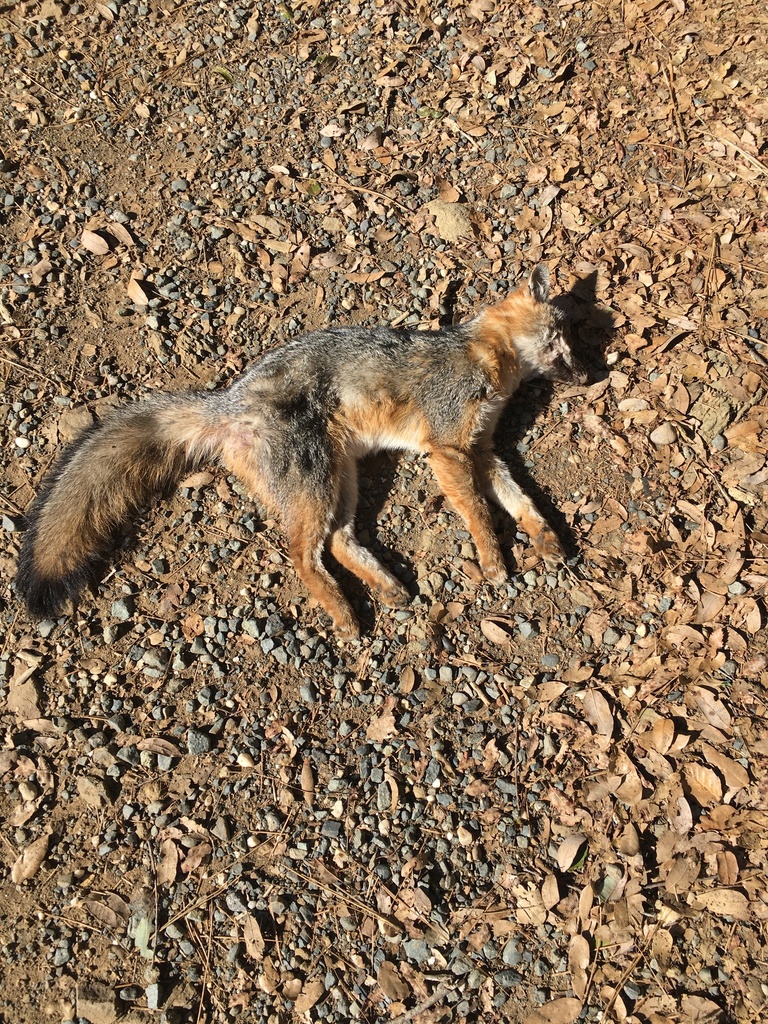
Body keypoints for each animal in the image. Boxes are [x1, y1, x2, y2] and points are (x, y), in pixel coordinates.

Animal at [16, 264, 582, 639]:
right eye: (562, 336)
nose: (586, 372)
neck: (484, 358)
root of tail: (229, 399)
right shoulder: (447, 449)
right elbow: (480, 512)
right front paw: (493, 560)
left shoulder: (481, 450)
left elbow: (520, 499)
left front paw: (545, 537)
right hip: (316, 483)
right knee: (303, 558)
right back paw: (345, 616)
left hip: (340, 481)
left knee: (338, 542)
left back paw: (388, 589)